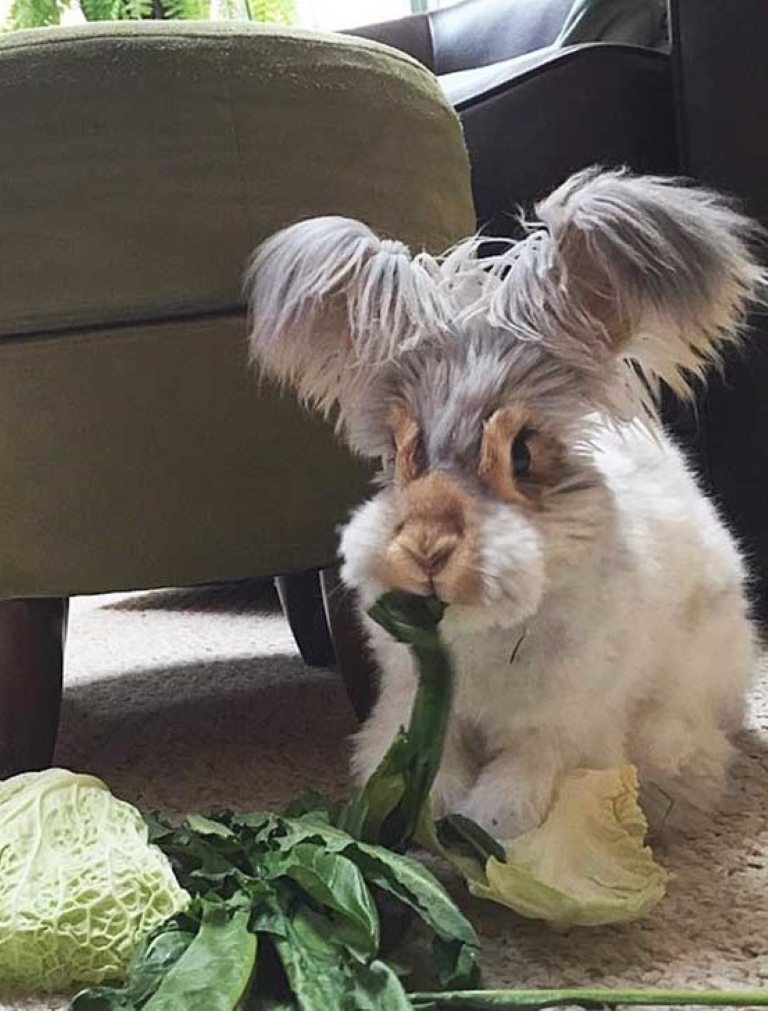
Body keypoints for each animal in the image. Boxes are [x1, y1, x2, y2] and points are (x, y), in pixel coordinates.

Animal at [246, 168, 765, 839]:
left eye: (521, 453)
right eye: (402, 450)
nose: (428, 549)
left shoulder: (566, 729)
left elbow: (522, 786)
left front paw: (488, 829)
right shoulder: (415, 709)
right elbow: (430, 768)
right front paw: (426, 812)